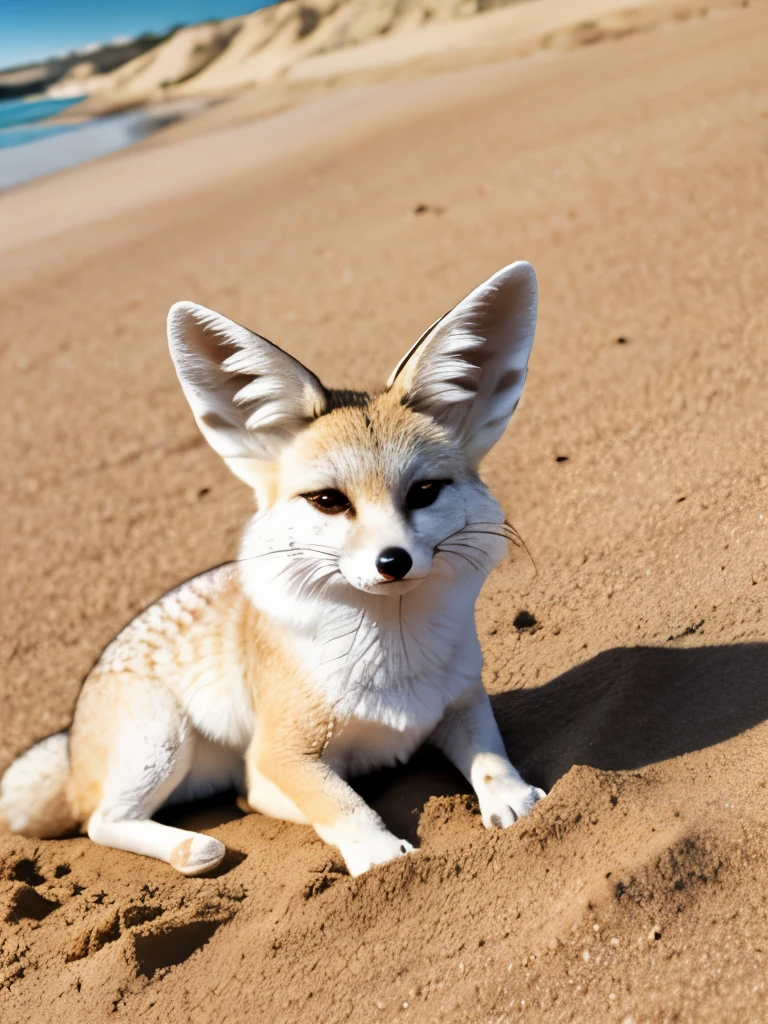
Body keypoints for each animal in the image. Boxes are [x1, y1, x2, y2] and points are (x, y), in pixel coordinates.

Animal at [1, 261, 545, 877]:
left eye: (424, 493)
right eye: (330, 501)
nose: (392, 562)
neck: (396, 663)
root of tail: (71, 736)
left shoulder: (462, 700)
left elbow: (491, 755)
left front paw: (511, 796)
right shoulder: (276, 757)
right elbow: (341, 801)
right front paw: (378, 851)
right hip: (163, 739)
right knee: (100, 822)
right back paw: (192, 848)